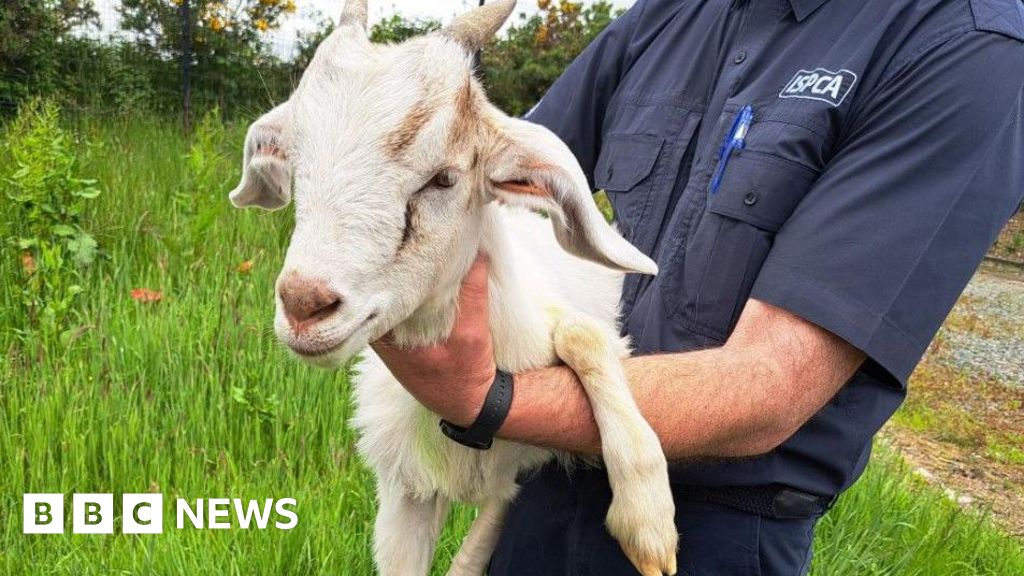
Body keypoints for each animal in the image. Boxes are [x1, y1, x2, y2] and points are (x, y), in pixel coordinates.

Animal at [229, 2, 677, 575]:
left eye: (443, 178)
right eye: (296, 163)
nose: (305, 305)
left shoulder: (515, 478)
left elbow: (583, 335)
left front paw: (647, 518)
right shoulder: (404, 497)